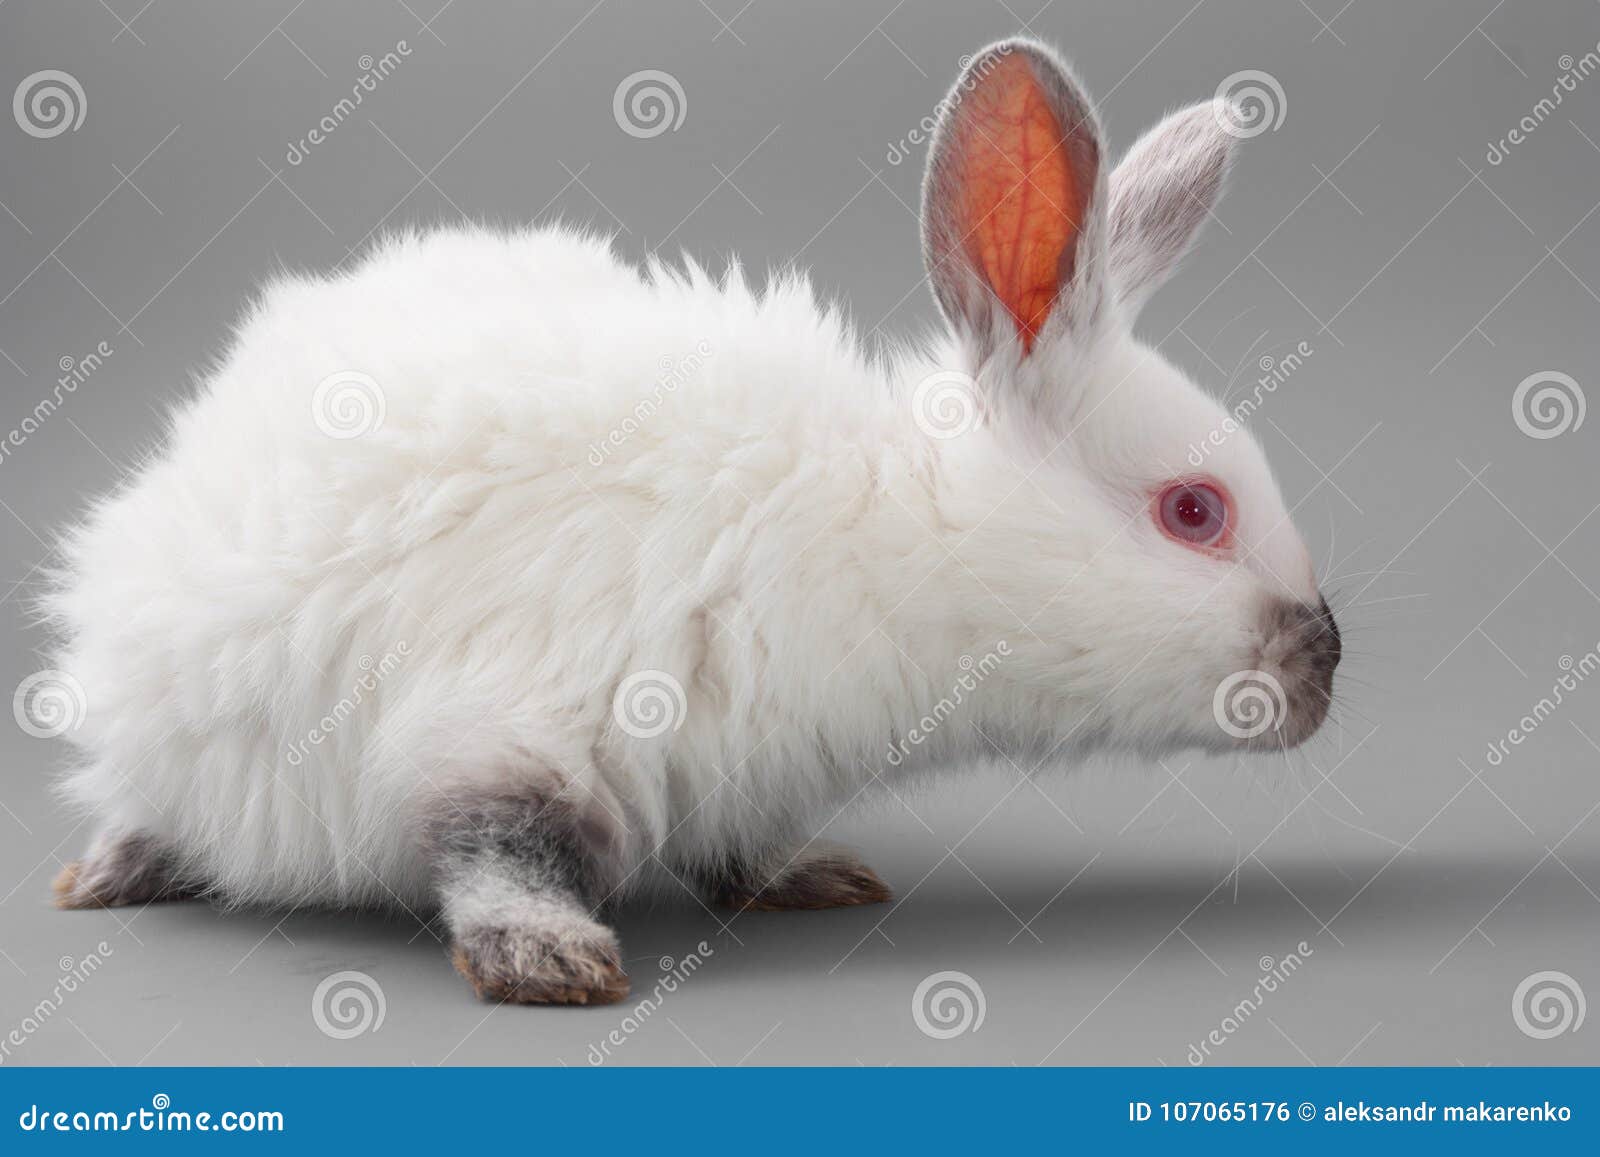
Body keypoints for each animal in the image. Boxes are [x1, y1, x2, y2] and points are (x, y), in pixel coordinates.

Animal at [44, 37, 1340, 1006]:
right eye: (1192, 511)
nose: (1327, 662)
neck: (891, 526)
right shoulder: (517, 724)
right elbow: (495, 846)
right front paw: (550, 959)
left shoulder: (746, 761)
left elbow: (735, 840)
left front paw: (807, 876)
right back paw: (110, 869)